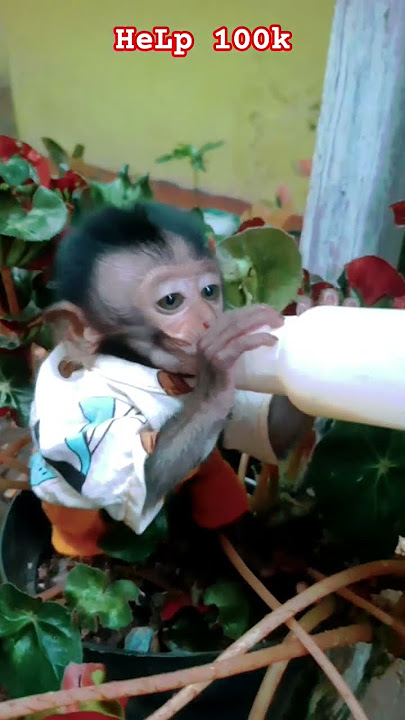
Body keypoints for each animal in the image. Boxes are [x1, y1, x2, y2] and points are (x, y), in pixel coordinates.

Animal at [29, 201, 313, 567]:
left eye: (209, 292)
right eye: (170, 301)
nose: (209, 320)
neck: (144, 365)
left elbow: (266, 431)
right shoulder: (78, 402)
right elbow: (142, 475)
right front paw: (216, 368)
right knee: (77, 518)